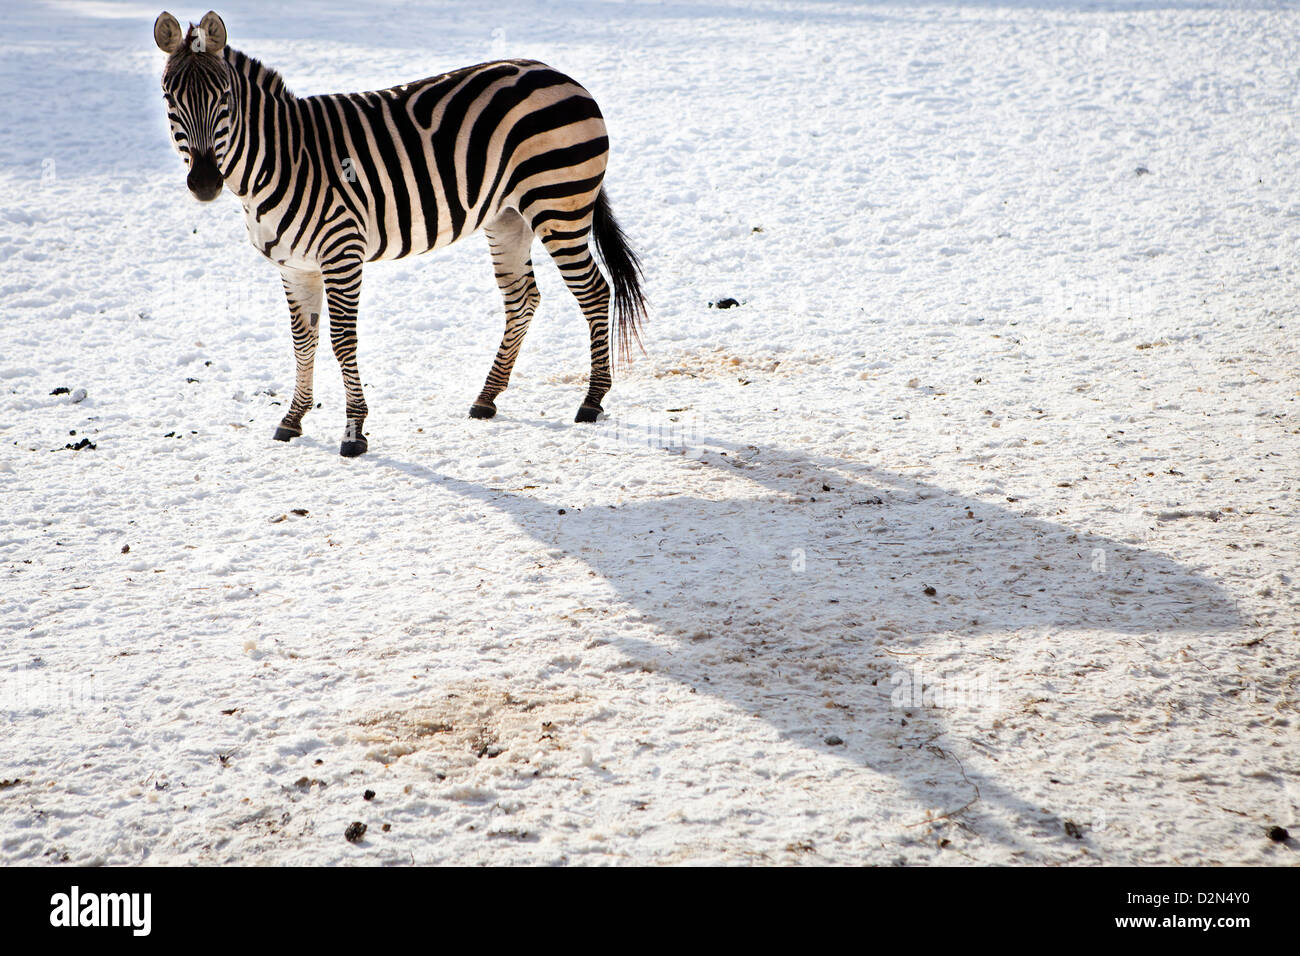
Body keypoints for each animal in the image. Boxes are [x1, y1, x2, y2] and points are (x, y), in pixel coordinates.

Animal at [154, 10, 646, 457]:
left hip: (559, 204)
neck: (281, 158)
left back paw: (591, 401)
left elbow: (342, 342)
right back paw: (486, 398)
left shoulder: (341, 254)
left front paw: (354, 431)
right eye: (169, 99)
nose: (205, 184)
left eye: (224, 98)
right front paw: (292, 419)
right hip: (507, 216)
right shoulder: (293, 265)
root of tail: (558, 73)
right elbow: (302, 342)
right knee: (523, 298)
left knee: (594, 291)